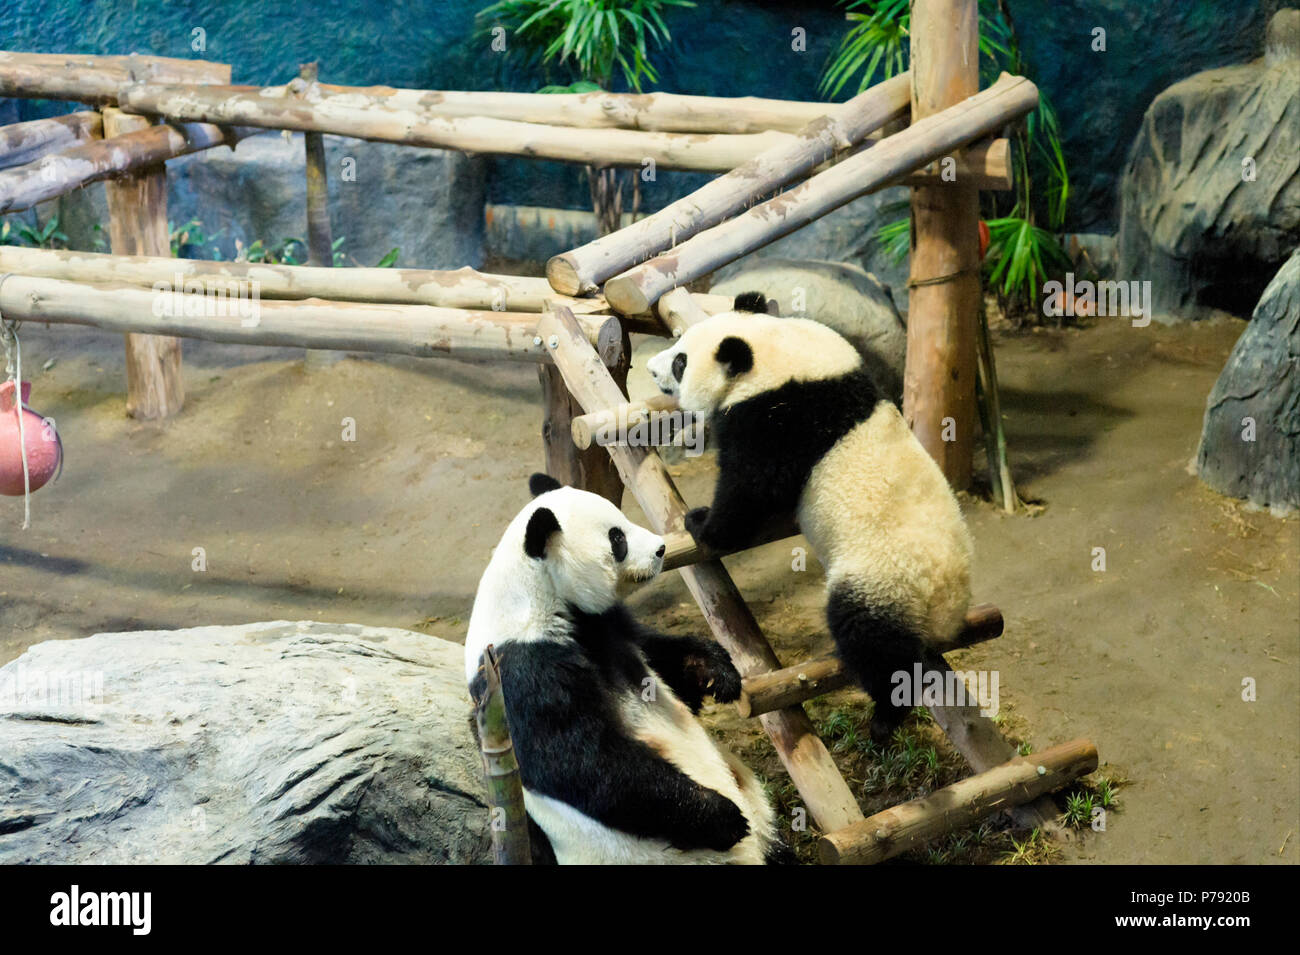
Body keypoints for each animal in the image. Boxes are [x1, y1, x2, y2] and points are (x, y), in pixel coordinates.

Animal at [464, 473, 785, 865]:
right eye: (617, 538)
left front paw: (716, 672)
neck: (537, 592)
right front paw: (722, 817)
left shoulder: (606, 624)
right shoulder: (524, 670)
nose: (660, 549)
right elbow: (585, 762)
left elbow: (658, 655)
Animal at [645, 293, 975, 744]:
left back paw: (885, 717)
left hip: (884, 579)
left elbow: (753, 487)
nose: (651, 369)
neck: (783, 359)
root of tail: (946, 612)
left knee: (874, 644)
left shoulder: (779, 420)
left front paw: (702, 523)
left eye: (681, 361)